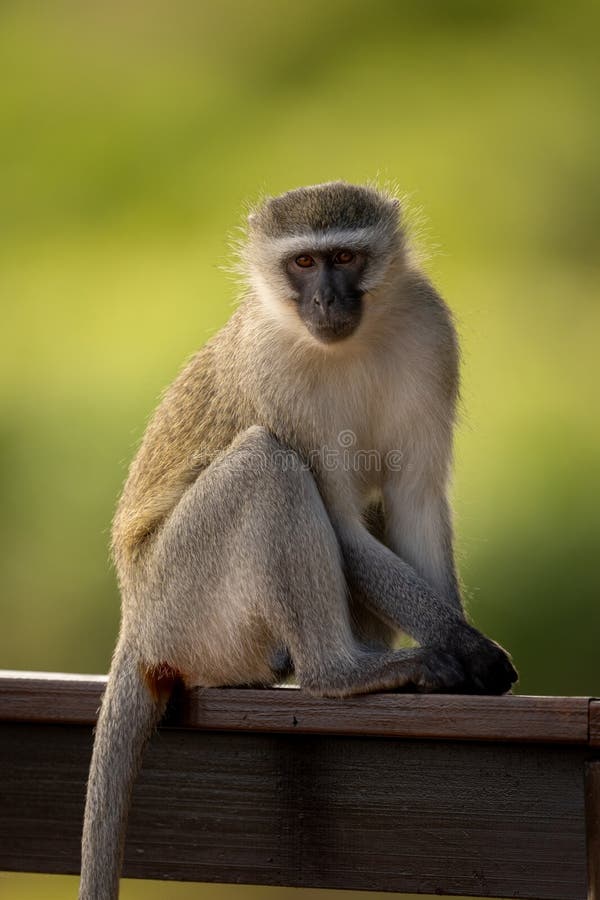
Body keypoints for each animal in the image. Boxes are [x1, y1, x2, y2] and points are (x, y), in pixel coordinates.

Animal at [79, 181, 517, 899]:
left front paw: (464, 651)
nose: (327, 301)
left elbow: (414, 502)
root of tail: (135, 625)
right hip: (183, 602)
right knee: (270, 464)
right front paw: (469, 650)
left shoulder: (430, 331)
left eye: (345, 257)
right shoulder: (273, 368)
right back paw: (338, 674)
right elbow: (336, 518)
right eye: (304, 264)